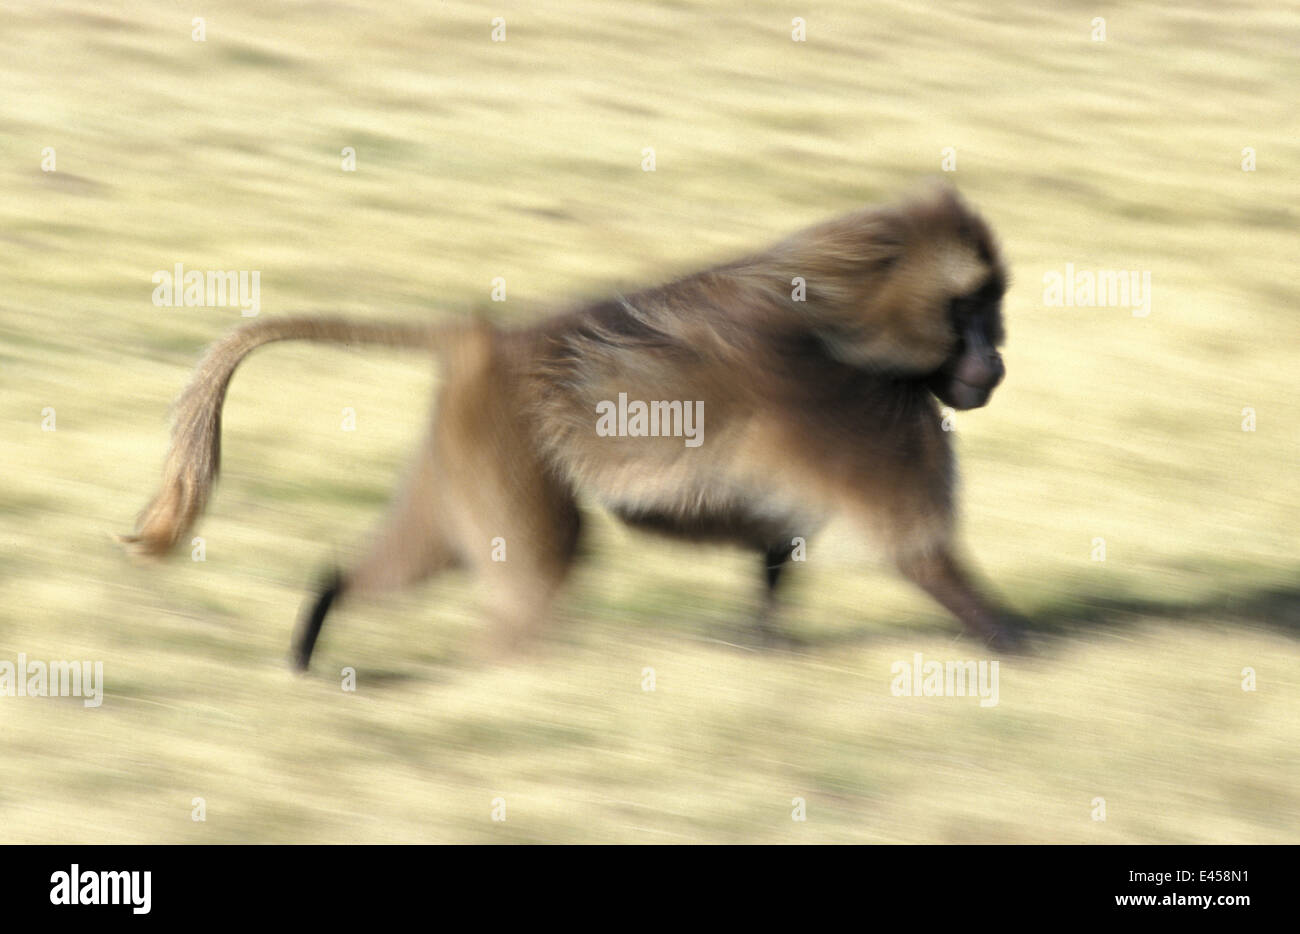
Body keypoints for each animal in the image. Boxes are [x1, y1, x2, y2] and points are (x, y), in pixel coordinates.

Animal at [120, 183, 1025, 670]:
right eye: (968, 310)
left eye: (991, 309)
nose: (995, 363)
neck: (854, 320)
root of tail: (490, 339)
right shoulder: (855, 411)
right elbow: (915, 549)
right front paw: (1013, 639)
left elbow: (773, 543)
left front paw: (762, 637)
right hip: (502, 438)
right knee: (537, 569)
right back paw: (494, 676)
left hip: (463, 436)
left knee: (432, 548)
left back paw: (325, 611)